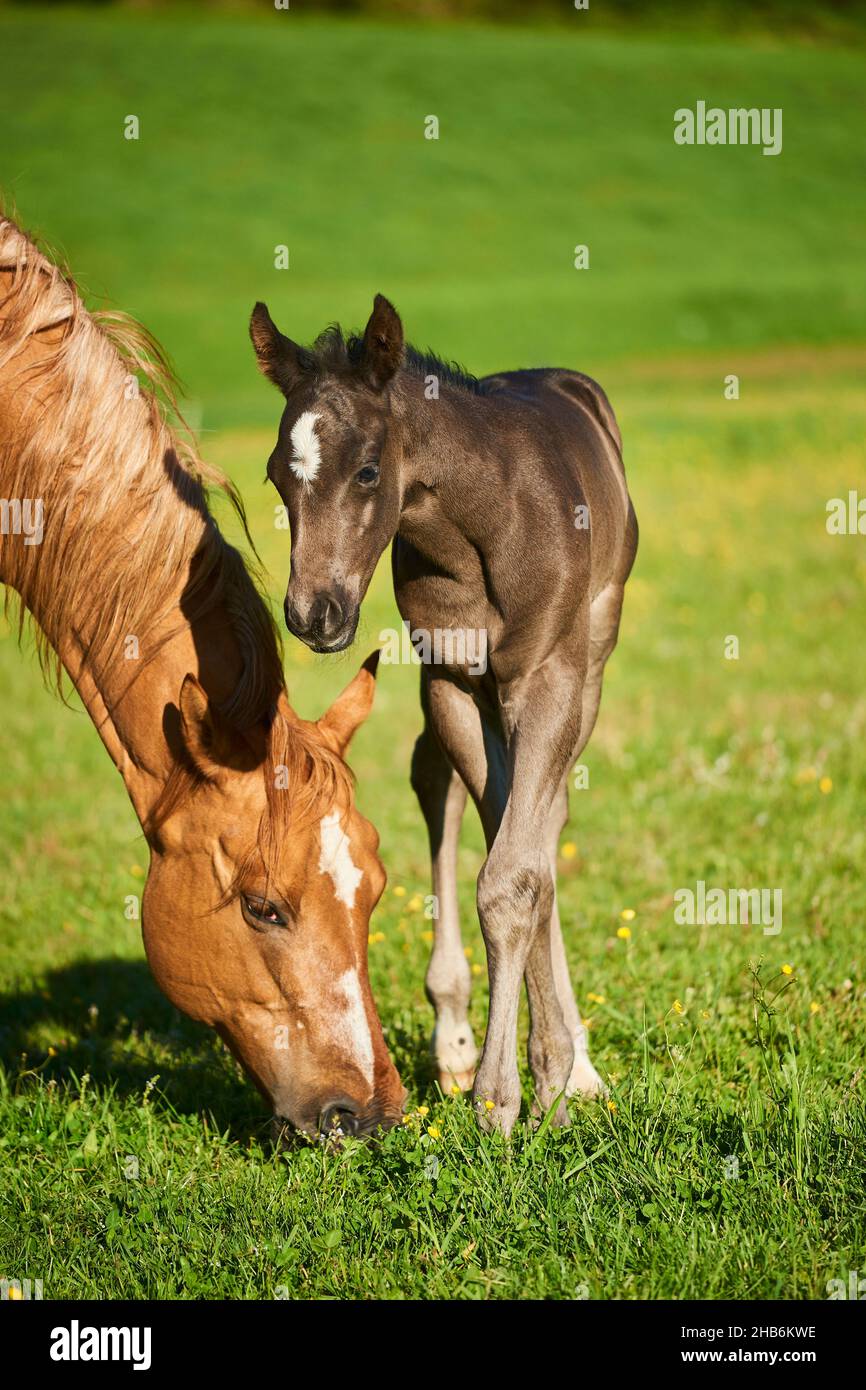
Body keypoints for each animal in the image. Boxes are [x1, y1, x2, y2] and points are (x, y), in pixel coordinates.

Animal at [250, 294, 638, 1135]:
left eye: (368, 470)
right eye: (275, 475)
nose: (312, 613)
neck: (482, 530)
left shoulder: (550, 677)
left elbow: (517, 872)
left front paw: (523, 1092)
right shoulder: (452, 682)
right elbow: (506, 856)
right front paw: (525, 1074)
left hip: (594, 655)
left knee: (545, 818)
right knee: (452, 792)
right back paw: (463, 1041)